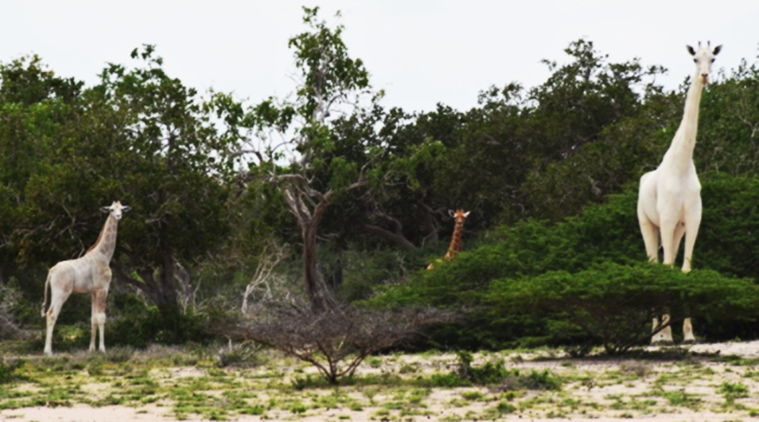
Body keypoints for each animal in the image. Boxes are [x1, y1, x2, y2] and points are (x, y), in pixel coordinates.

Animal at [40, 201, 131, 356]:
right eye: (111, 210)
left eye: (122, 209)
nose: (118, 216)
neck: (104, 255)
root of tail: (50, 272)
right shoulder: (103, 288)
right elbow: (101, 317)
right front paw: (102, 349)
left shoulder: (93, 292)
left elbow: (93, 318)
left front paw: (91, 349)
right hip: (61, 293)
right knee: (52, 314)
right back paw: (48, 352)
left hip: (54, 292)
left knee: (48, 313)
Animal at [637, 42, 721, 345]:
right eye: (695, 58)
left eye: (713, 58)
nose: (704, 76)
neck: (682, 164)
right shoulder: (667, 218)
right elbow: (666, 269)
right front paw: (664, 335)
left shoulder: (692, 220)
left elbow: (684, 269)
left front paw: (688, 334)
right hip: (648, 223)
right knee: (655, 264)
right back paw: (655, 335)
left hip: (676, 229)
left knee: (668, 263)